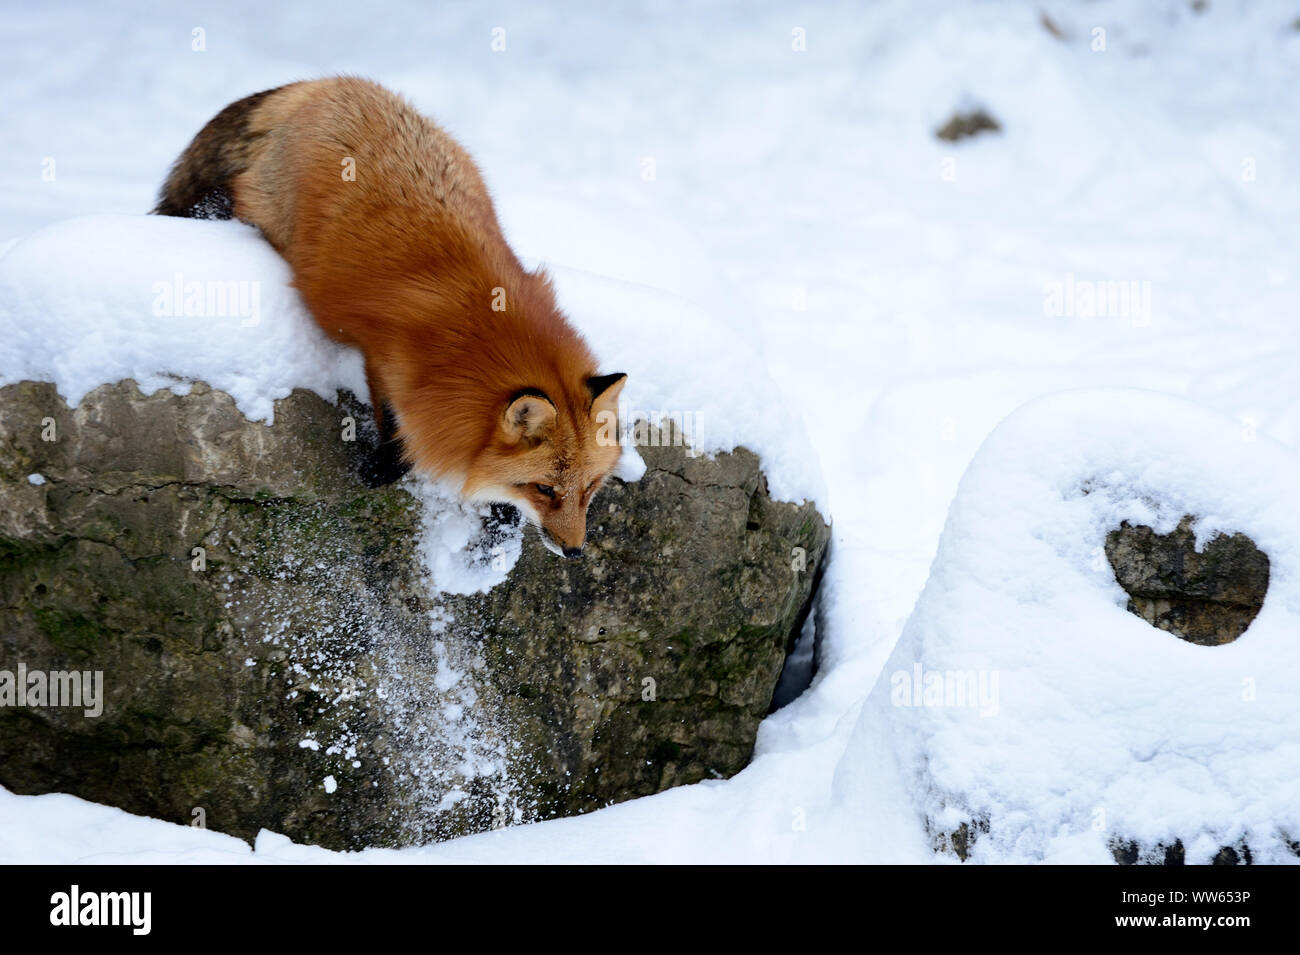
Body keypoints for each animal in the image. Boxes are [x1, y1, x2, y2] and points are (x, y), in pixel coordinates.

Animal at [153, 77, 626, 558]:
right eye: (545, 489)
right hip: (255, 208)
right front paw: (384, 468)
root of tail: (329, 83)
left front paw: (501, 521)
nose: (575, 551)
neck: (483, 319)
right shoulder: (387, 357)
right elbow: (397, 424)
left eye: (590, 487)